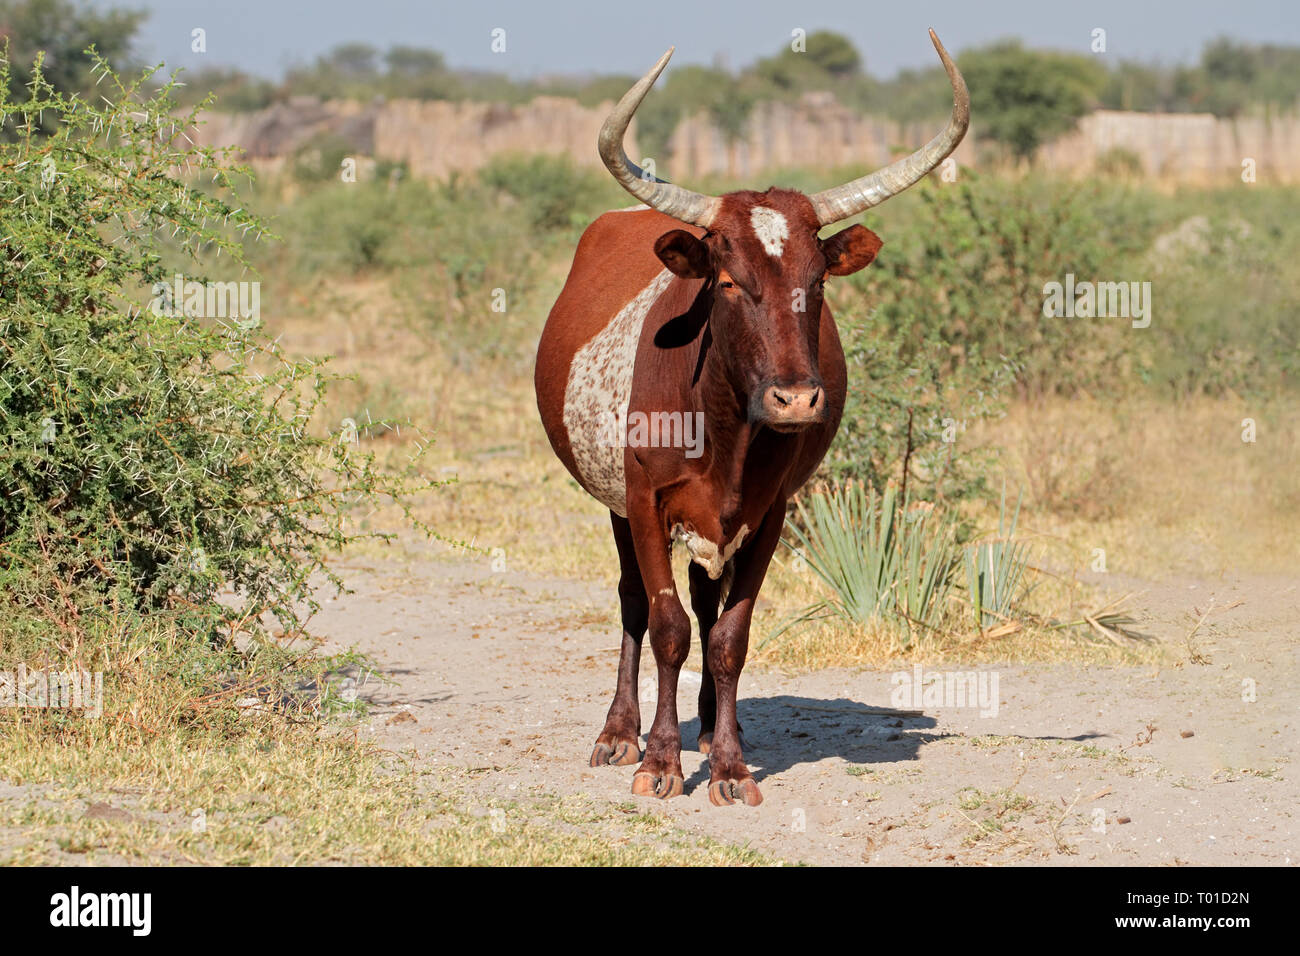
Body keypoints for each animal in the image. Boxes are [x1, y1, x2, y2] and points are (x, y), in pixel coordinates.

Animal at [533, 31, 972, 806]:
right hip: (616, 504)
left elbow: (728, 636)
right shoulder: (645, 502)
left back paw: (710, 728)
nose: (795, 400)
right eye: (731, 283)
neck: (721, 427)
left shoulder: (769, 511)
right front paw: (658, 761)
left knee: (708, 605)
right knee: (634, 604)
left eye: (817, 282)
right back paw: (621, 731)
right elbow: (667, 626)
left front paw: (730, 766)